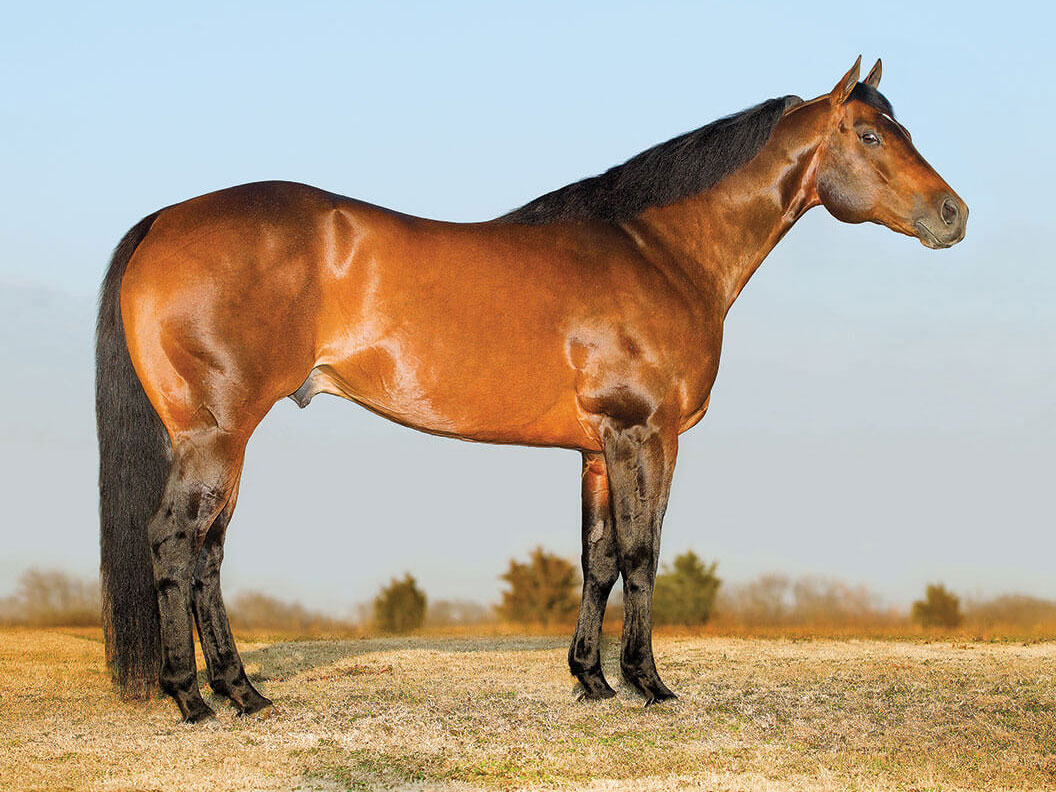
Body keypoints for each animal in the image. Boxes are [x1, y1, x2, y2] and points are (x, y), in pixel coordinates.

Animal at [96, 57, 967, 721]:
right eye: (870, 134)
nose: (953, 215)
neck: (660, 251)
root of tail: (164, 221)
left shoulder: (597, 449)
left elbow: (598, 558)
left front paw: (592, 681)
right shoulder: (645, 434)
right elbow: (644, 553)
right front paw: (649, 685)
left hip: (225, 439)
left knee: (208, 552)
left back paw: (242, 693)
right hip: (216, 434)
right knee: (174, 541)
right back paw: (192, 699)